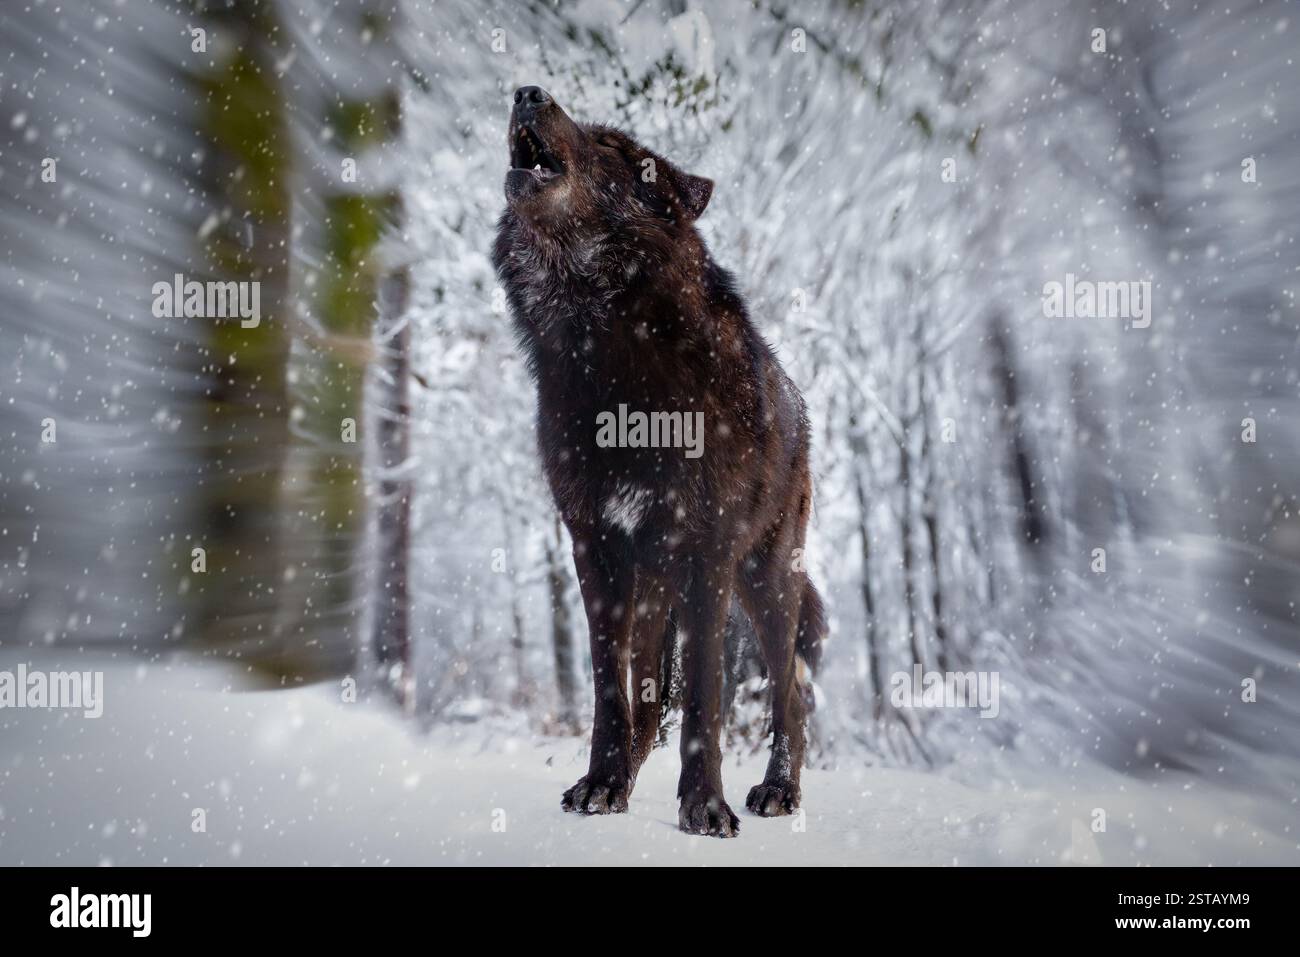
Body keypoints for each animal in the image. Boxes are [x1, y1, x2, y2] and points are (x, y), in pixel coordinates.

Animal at [493, 86, 826, 838]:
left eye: (612, 149)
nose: (528, 92)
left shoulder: (707, 552)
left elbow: (703, 696)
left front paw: (705, 806)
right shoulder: (596, 546)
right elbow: (608, 689)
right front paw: (601, 785)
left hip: (766, 578)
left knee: (790, 693)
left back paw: (779, 790)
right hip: (653, 588)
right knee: (646, 702)